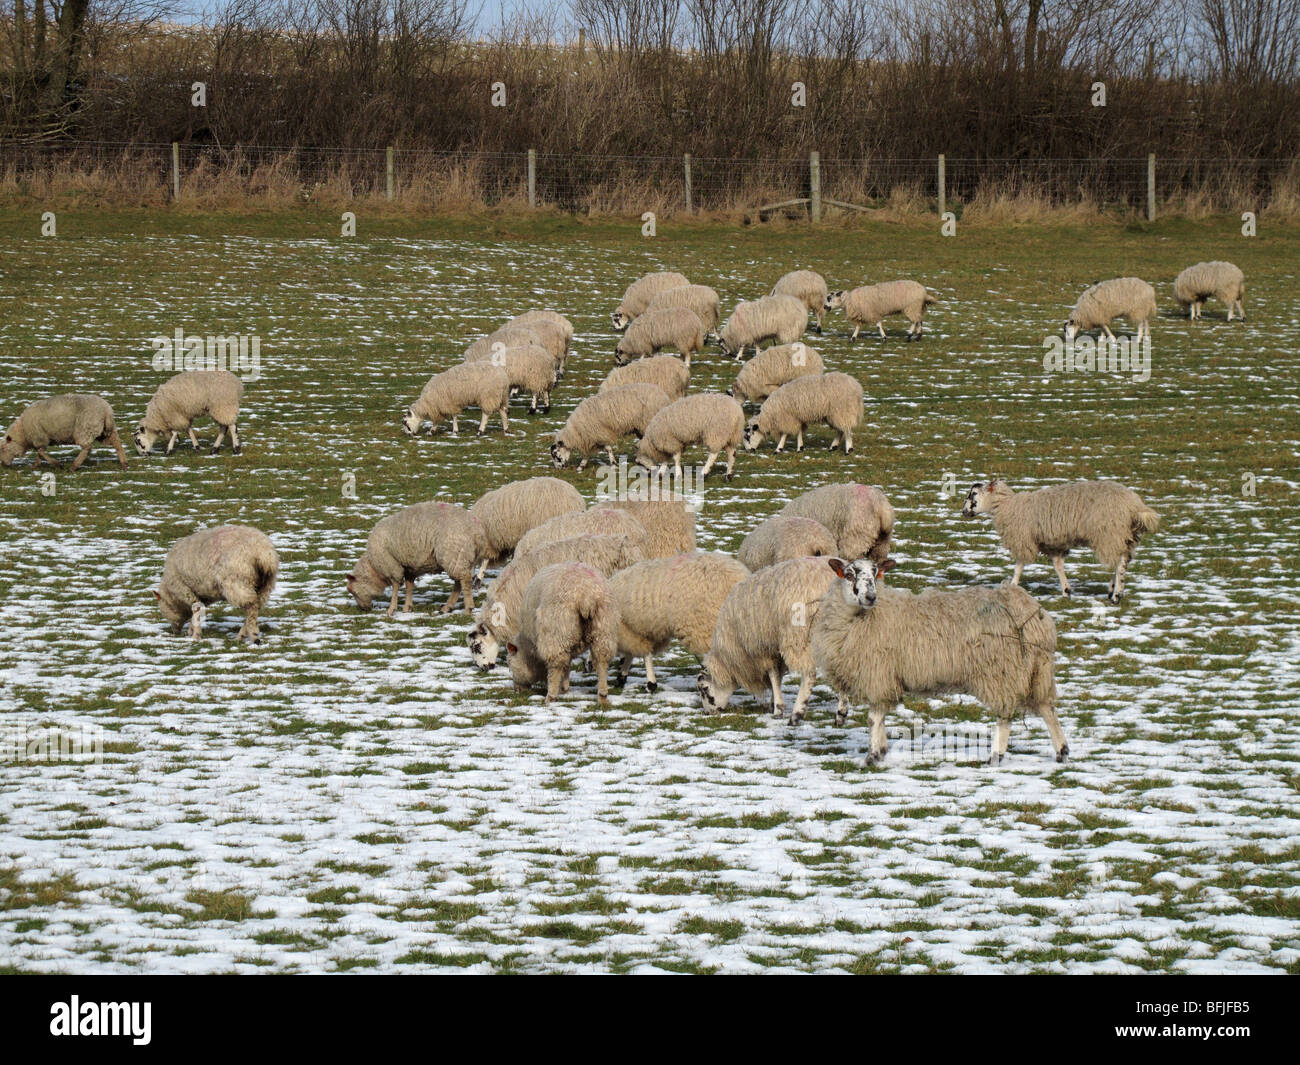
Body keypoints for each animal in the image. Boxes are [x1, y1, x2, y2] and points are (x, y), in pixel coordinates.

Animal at [347, 501, 487, 617]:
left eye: (353, 591)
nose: (364, 609)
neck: (374, 568)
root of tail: (477, 531)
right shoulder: (409, 567)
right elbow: (409, 586)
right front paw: (407, 607)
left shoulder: (392, 565)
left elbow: (396, 586)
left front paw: (392, 609)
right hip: (461, 557)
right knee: (459, 582)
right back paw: (448, 607)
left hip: (454, 554)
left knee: (464, 580)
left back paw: (468, 608)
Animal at [507, 561, 620, 703]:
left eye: (510, 665)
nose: (516, 690)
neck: (530, 647)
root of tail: (586, 595)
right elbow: (567, 665)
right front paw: (565, 688)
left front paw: (560, 688)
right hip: (603, 626)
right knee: (602, 659)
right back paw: (602, 696)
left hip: (557, 628)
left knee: (556, 664)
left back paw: (550, 697)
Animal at [608, 551, 750, 691]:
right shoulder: (645, 630)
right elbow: (634, 653)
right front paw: (623, 676)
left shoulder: (634, 629)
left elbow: (641, 654)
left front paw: (648, 683)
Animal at [697, 556, 839, 723]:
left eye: (704, 688)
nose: (708, 713)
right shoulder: (773, 646)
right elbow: (779, 675)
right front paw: (774, 702)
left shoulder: (762, 648)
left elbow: (773, 675)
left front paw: (777, 708)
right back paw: (841, 713)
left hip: (800, 636)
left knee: (809, 674)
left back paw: (797, 713)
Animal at [961, 478, 1160, 602]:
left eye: (973, 494)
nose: (963, 512)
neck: (1006, 506)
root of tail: (1135, 505)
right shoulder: (1054, 543)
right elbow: (1058, 566)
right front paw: (1066, 591)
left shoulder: (1023, 539)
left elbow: (1019, 566)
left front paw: (1013, 586)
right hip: (1124, 536)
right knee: (1123, 560)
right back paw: (1113, 590)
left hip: (1109, 533)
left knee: (1119, 562)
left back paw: (1117, 594)